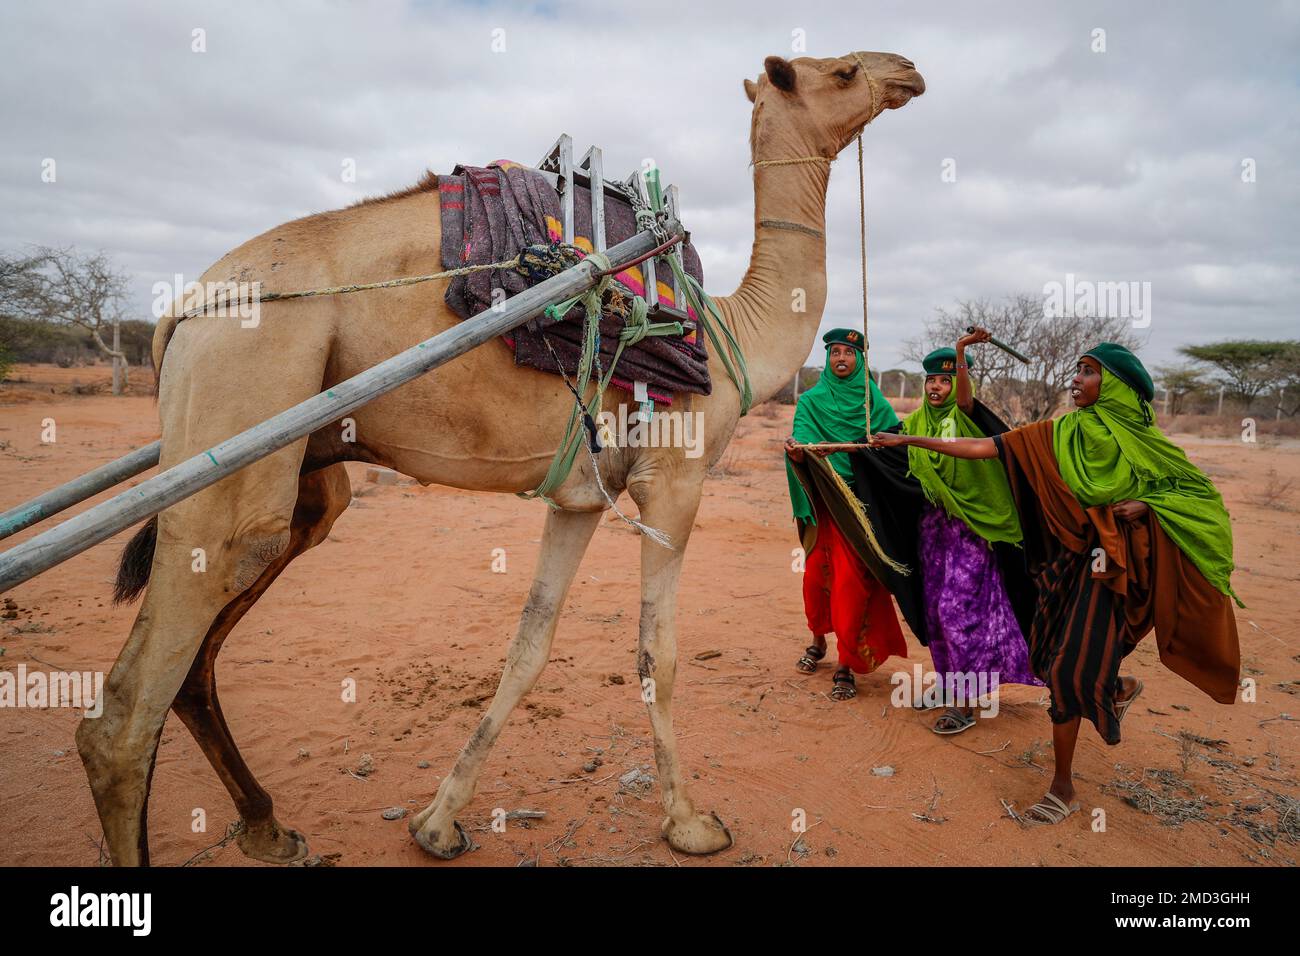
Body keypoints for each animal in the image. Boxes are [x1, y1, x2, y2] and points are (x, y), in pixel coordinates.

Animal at [76, 50, 924, 865]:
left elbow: (529, 645)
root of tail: (185, 310)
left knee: (206, 647)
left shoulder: (579, 496)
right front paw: (690, 824)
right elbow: (659, 654)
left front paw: (438, 823)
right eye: (841, 71)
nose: (908, 70)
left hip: (302, 468)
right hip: (246, 388)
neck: (730, 333)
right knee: (127, 707)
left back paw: (268, 829)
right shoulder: (674, 482)